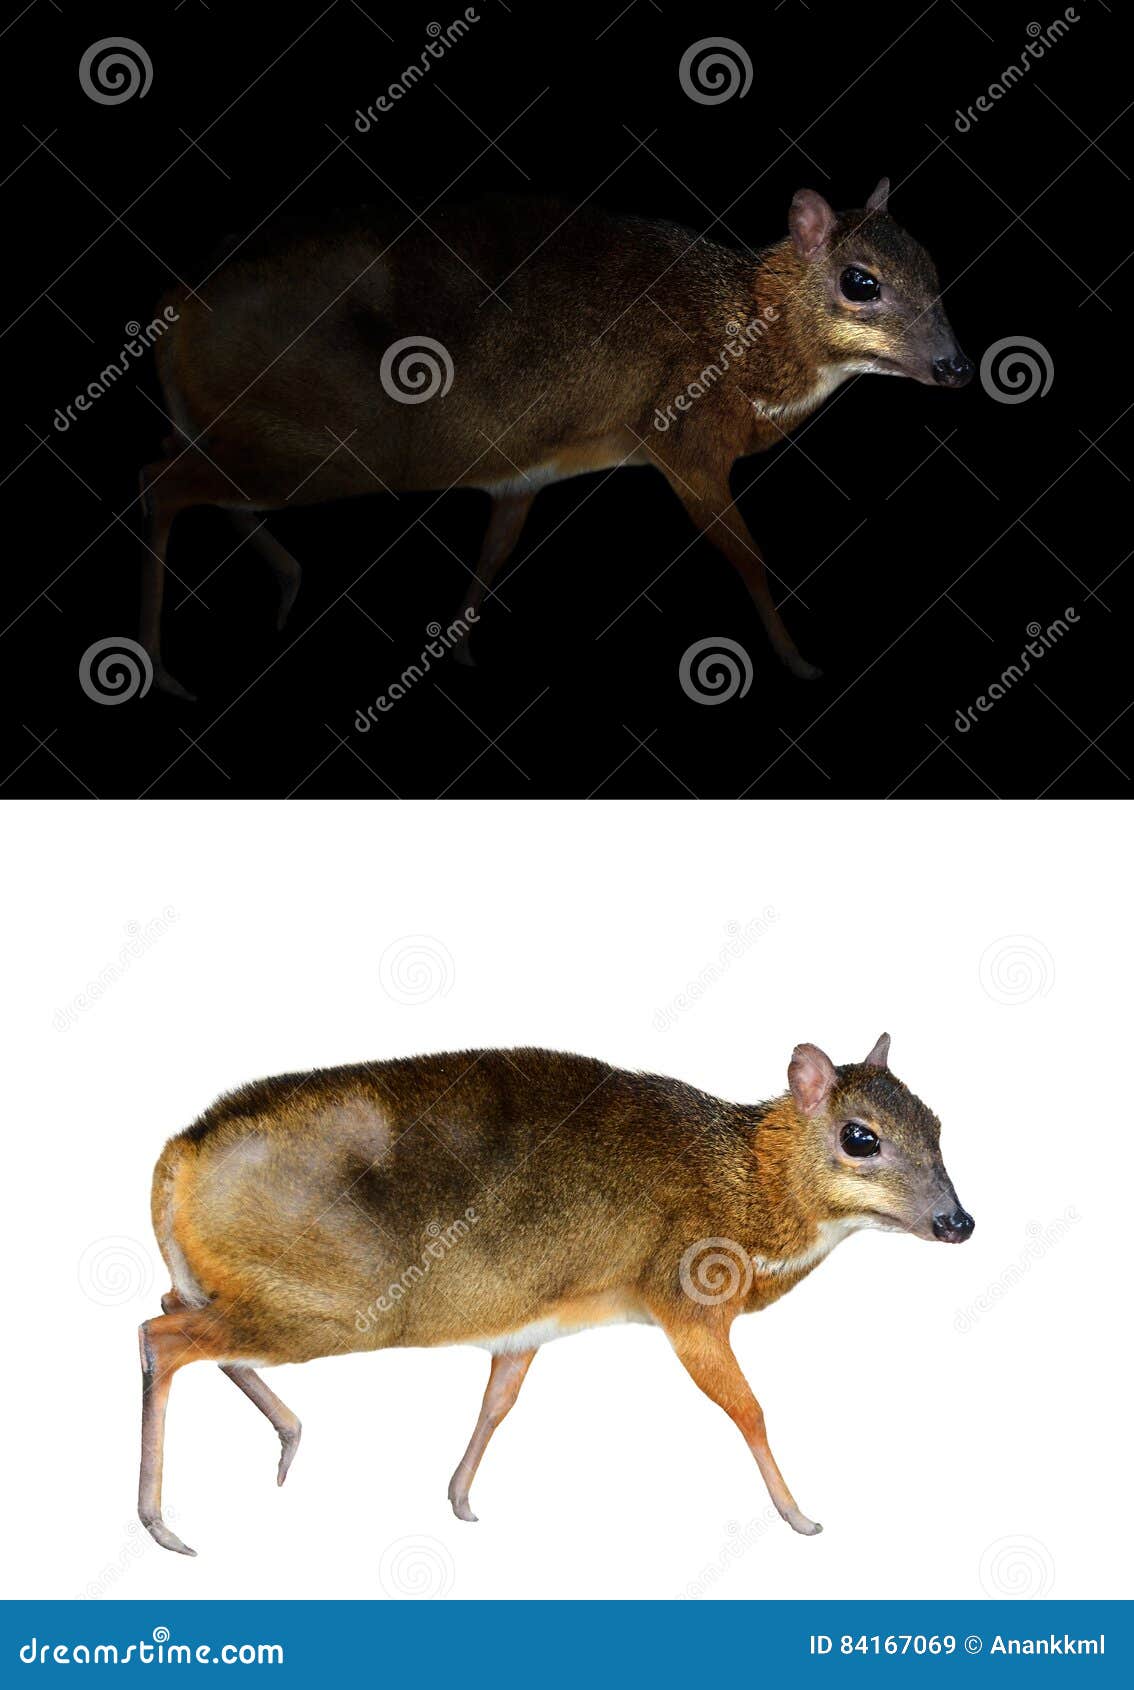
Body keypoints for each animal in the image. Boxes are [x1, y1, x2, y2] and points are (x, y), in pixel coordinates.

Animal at [138, 179, 972, 699]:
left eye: (934, 268)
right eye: (860, 281)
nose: (957, 365)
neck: (744, 336)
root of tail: (175, 305)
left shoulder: (524, 472)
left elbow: (495, 549)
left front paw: (461, 650)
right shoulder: (684, 442)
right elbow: (748, 559)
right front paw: (798, 662)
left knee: (184, 475)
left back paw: (284, 586)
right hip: (315, 451)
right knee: (161, 482)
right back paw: (158, 666)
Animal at [138, 1033, 973, 1554]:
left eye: (937, 1124)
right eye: (860, 1137)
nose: (958, 1221)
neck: (745, 1181)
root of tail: (178, 1151)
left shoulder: (529, 1327)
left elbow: (498, 1403)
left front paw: (459, 1497)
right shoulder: (688, 1303)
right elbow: (748, 1410)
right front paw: (798, 1516)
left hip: (249, 1294)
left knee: (175, 1315)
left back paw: (285, 1436)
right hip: (323, 1311)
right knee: (160, 1337)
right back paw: (162, 1524)